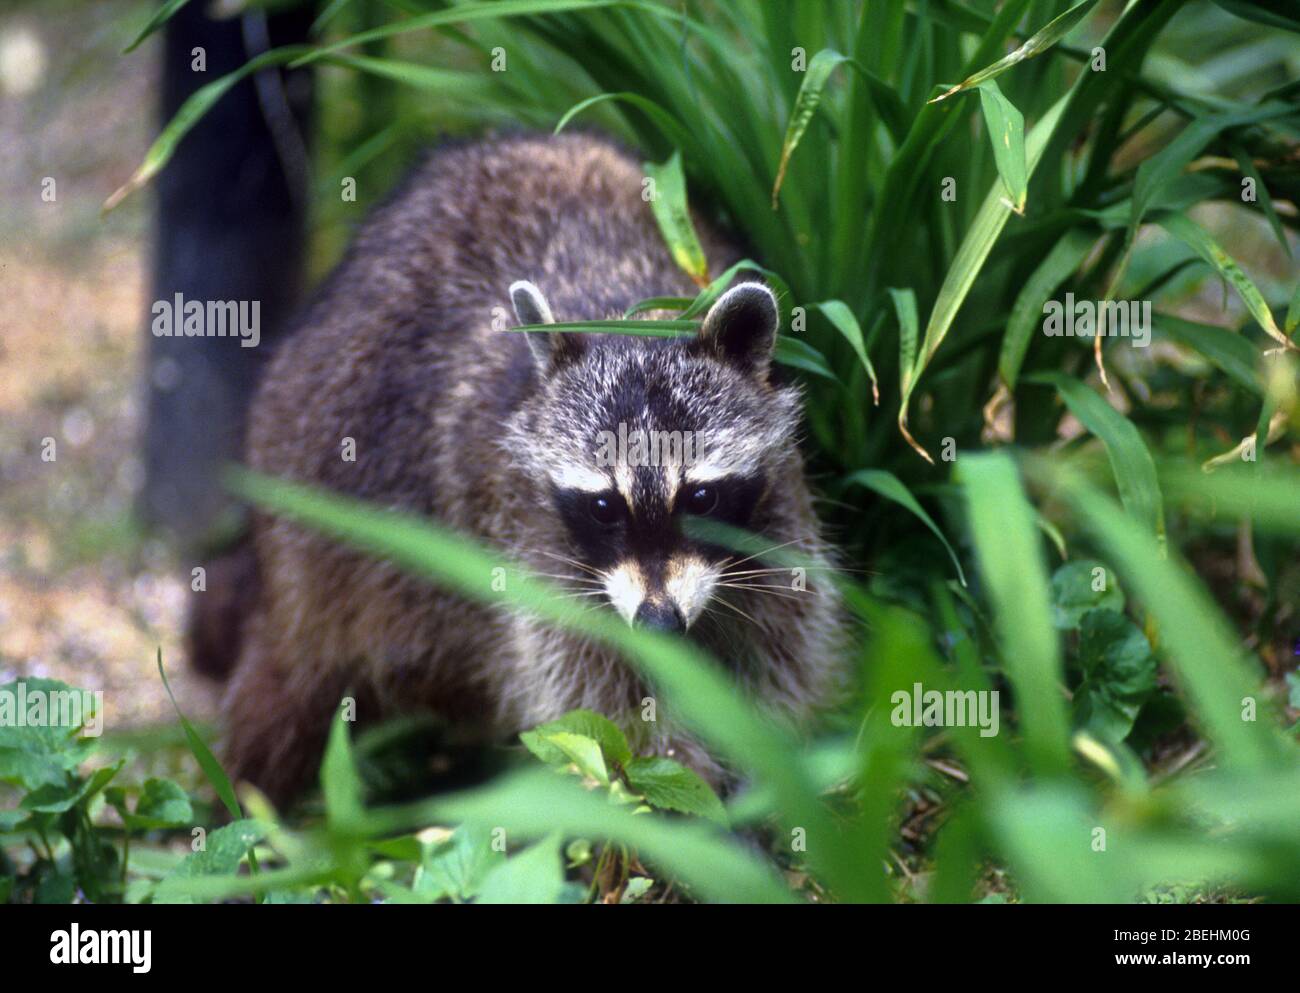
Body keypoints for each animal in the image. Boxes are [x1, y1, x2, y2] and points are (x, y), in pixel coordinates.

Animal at [195, 133, 845, 804]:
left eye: (700, 499)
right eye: (604, 506)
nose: (659, 624)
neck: (629, 314)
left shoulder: (776, 506)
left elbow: (780, 643)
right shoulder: (527, 536)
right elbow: (597, 697)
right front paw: (673, 778)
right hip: (324, 535)